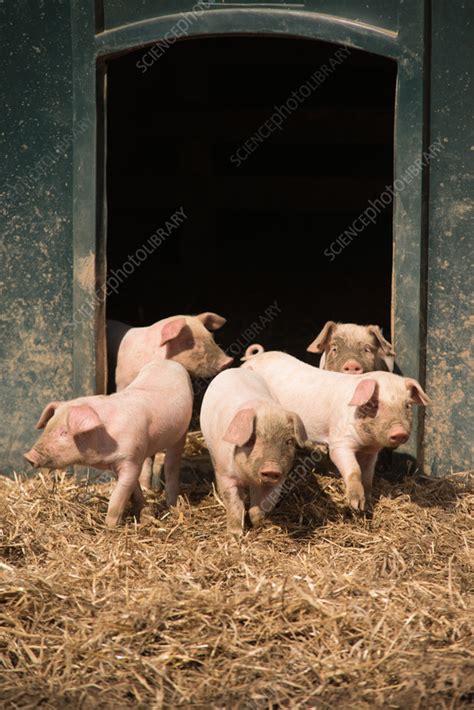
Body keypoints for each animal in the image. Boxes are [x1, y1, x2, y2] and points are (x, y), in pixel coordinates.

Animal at [24, 359, 193, 527]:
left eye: (64, 432)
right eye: (48, 425)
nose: (28, 456)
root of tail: (169, 362)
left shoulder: (130, 459)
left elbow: (118, 496)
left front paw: (109, 527)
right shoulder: (116, 464)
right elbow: (133, 490)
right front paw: (142, 511)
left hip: (182, 430)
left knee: (172, 464)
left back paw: (171, 505)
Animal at [200, 368, 308, 534]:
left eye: (289, 441)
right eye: (251, 440)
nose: (272, 468)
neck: (247, 477)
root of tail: (235, 369)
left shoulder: (279, 479)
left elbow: (263, 505)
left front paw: (260, 525)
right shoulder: (225, 474)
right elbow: (234, 504)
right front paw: (235, 534)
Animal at [243, 352, 429, 512]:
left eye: (407, 405)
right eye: (375, 404)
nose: (400, 432)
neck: (366, 442)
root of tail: (253, 359)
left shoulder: (371, 452)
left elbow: (368, 477)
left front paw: (368, 505)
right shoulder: (339, 442)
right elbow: (353, 470)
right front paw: (356, 505)